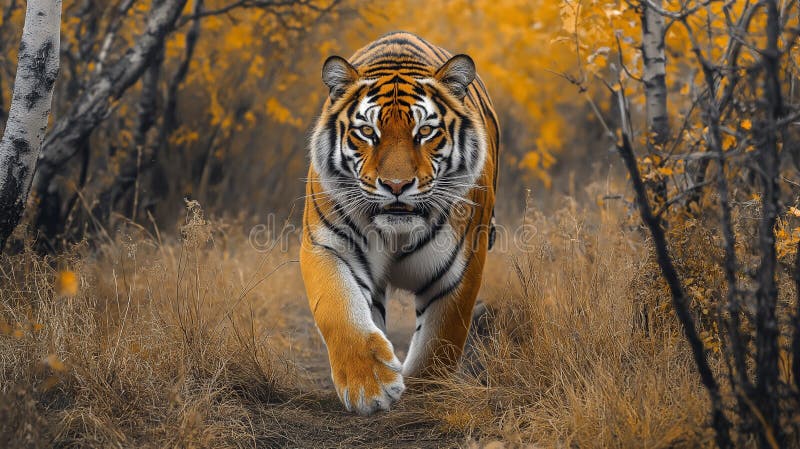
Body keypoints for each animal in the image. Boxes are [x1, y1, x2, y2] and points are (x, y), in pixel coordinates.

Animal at [300, 31, 499, 415]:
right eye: (367, 131)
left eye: (425, 131)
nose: (395, 185)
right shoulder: (328, 245)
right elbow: (339, 310)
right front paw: (369, 386)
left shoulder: (461, 267)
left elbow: (440, 341)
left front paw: (425, 394)